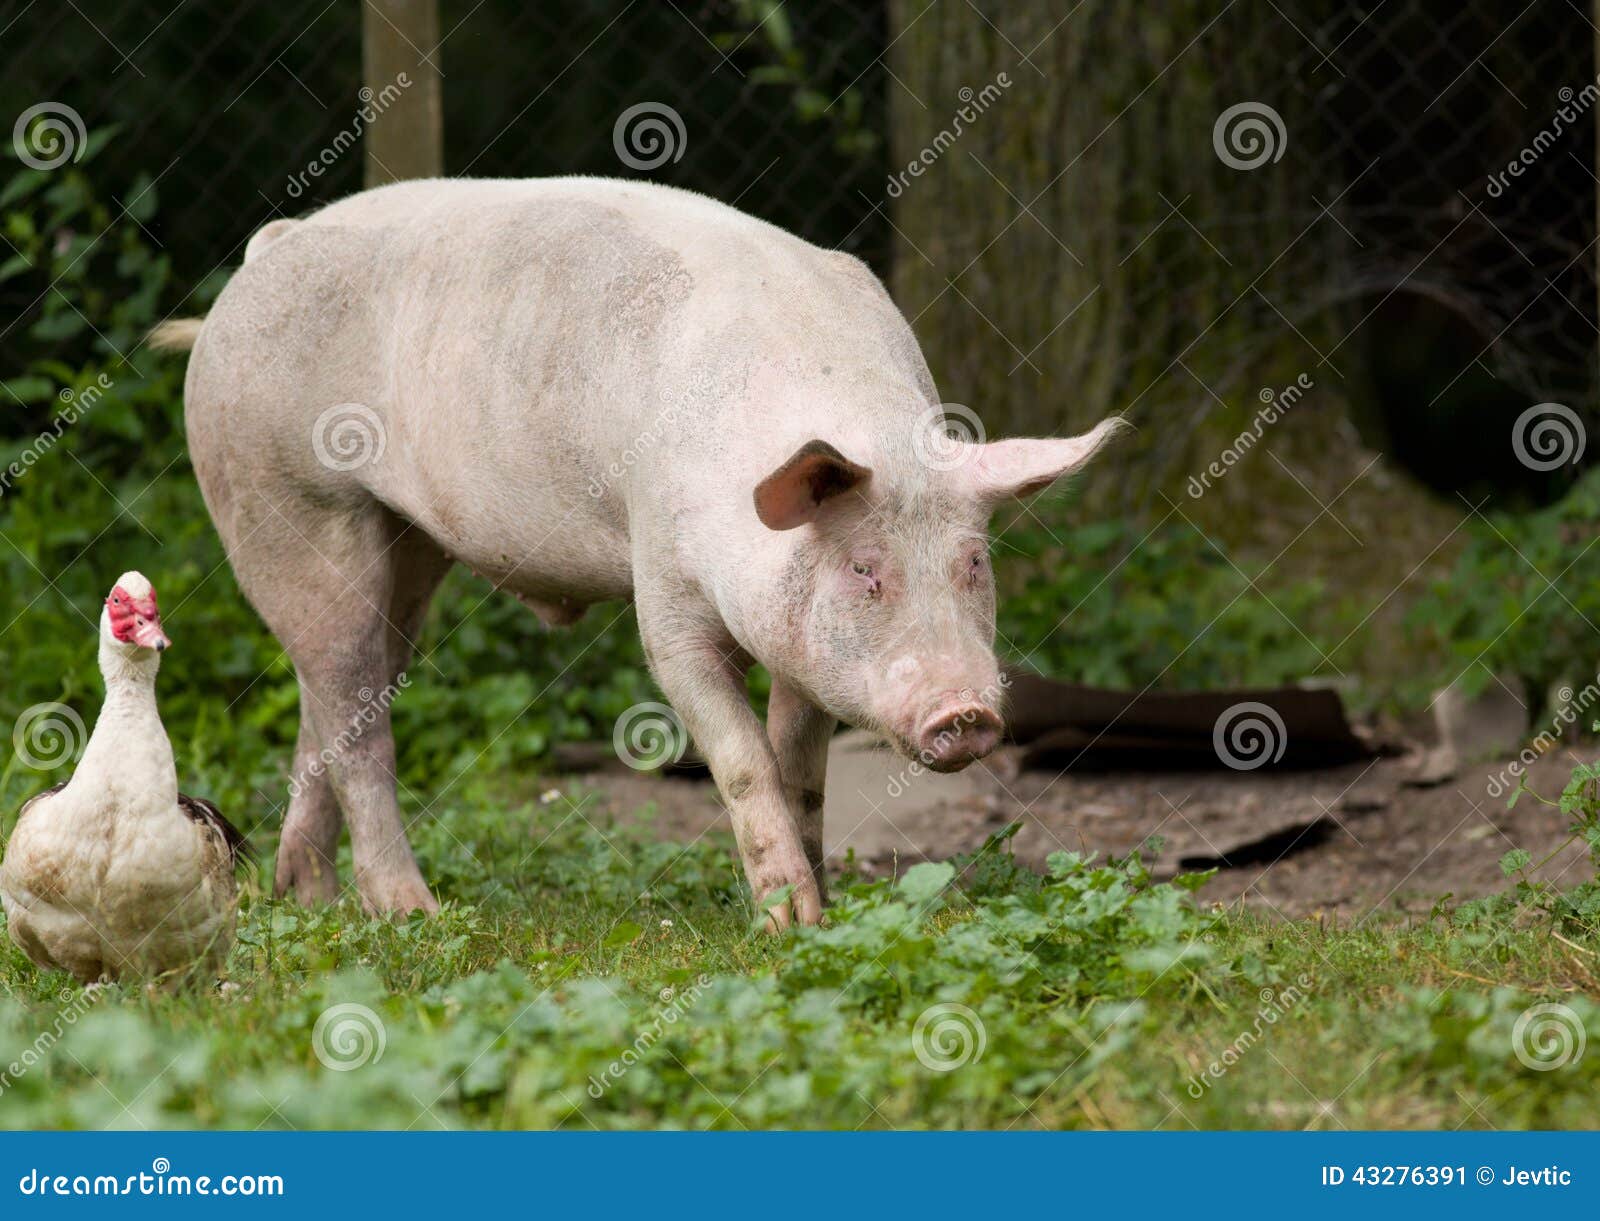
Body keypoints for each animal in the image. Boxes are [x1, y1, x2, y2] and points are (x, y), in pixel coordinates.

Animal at [153, 177, 1123, 926]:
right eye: (865, 570)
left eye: (973, 563)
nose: (968, 711)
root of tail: (264, 252)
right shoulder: (664, 576)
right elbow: (737, 751)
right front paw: (786, 920)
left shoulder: (800, 637)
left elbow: (800, 765)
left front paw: (823, 910)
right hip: (287, 498)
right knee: (351, 704)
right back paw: (410, 911)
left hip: (408, 543)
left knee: (331, 694)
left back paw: (308, 898)